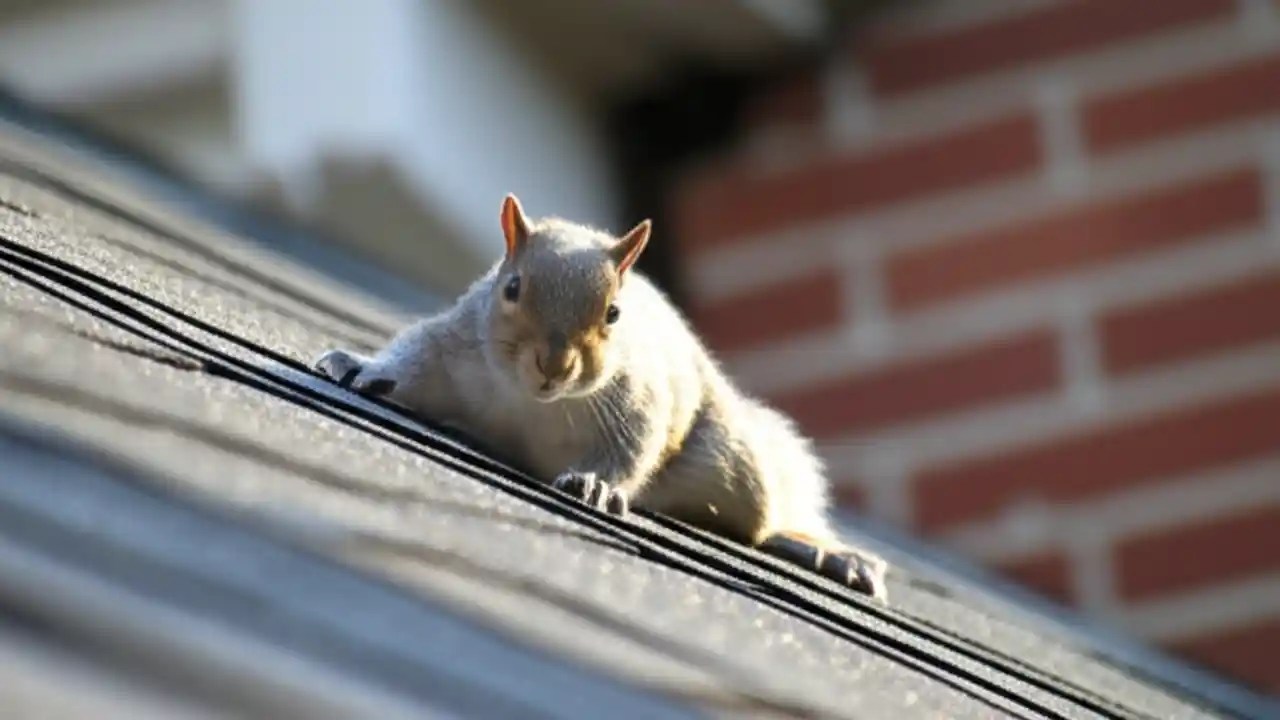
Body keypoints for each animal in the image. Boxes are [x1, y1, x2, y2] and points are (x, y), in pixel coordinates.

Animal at [314, 195, 888, 600]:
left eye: (613, 313)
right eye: (511, 287)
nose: (554, 366)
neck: (538, 406)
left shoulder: (635, 403)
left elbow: (631, 451)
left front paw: (594, 484)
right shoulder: (453, 346)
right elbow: (413, 357)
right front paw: (362, 367)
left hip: (736, 463)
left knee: (767, 521)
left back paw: (833, 555)